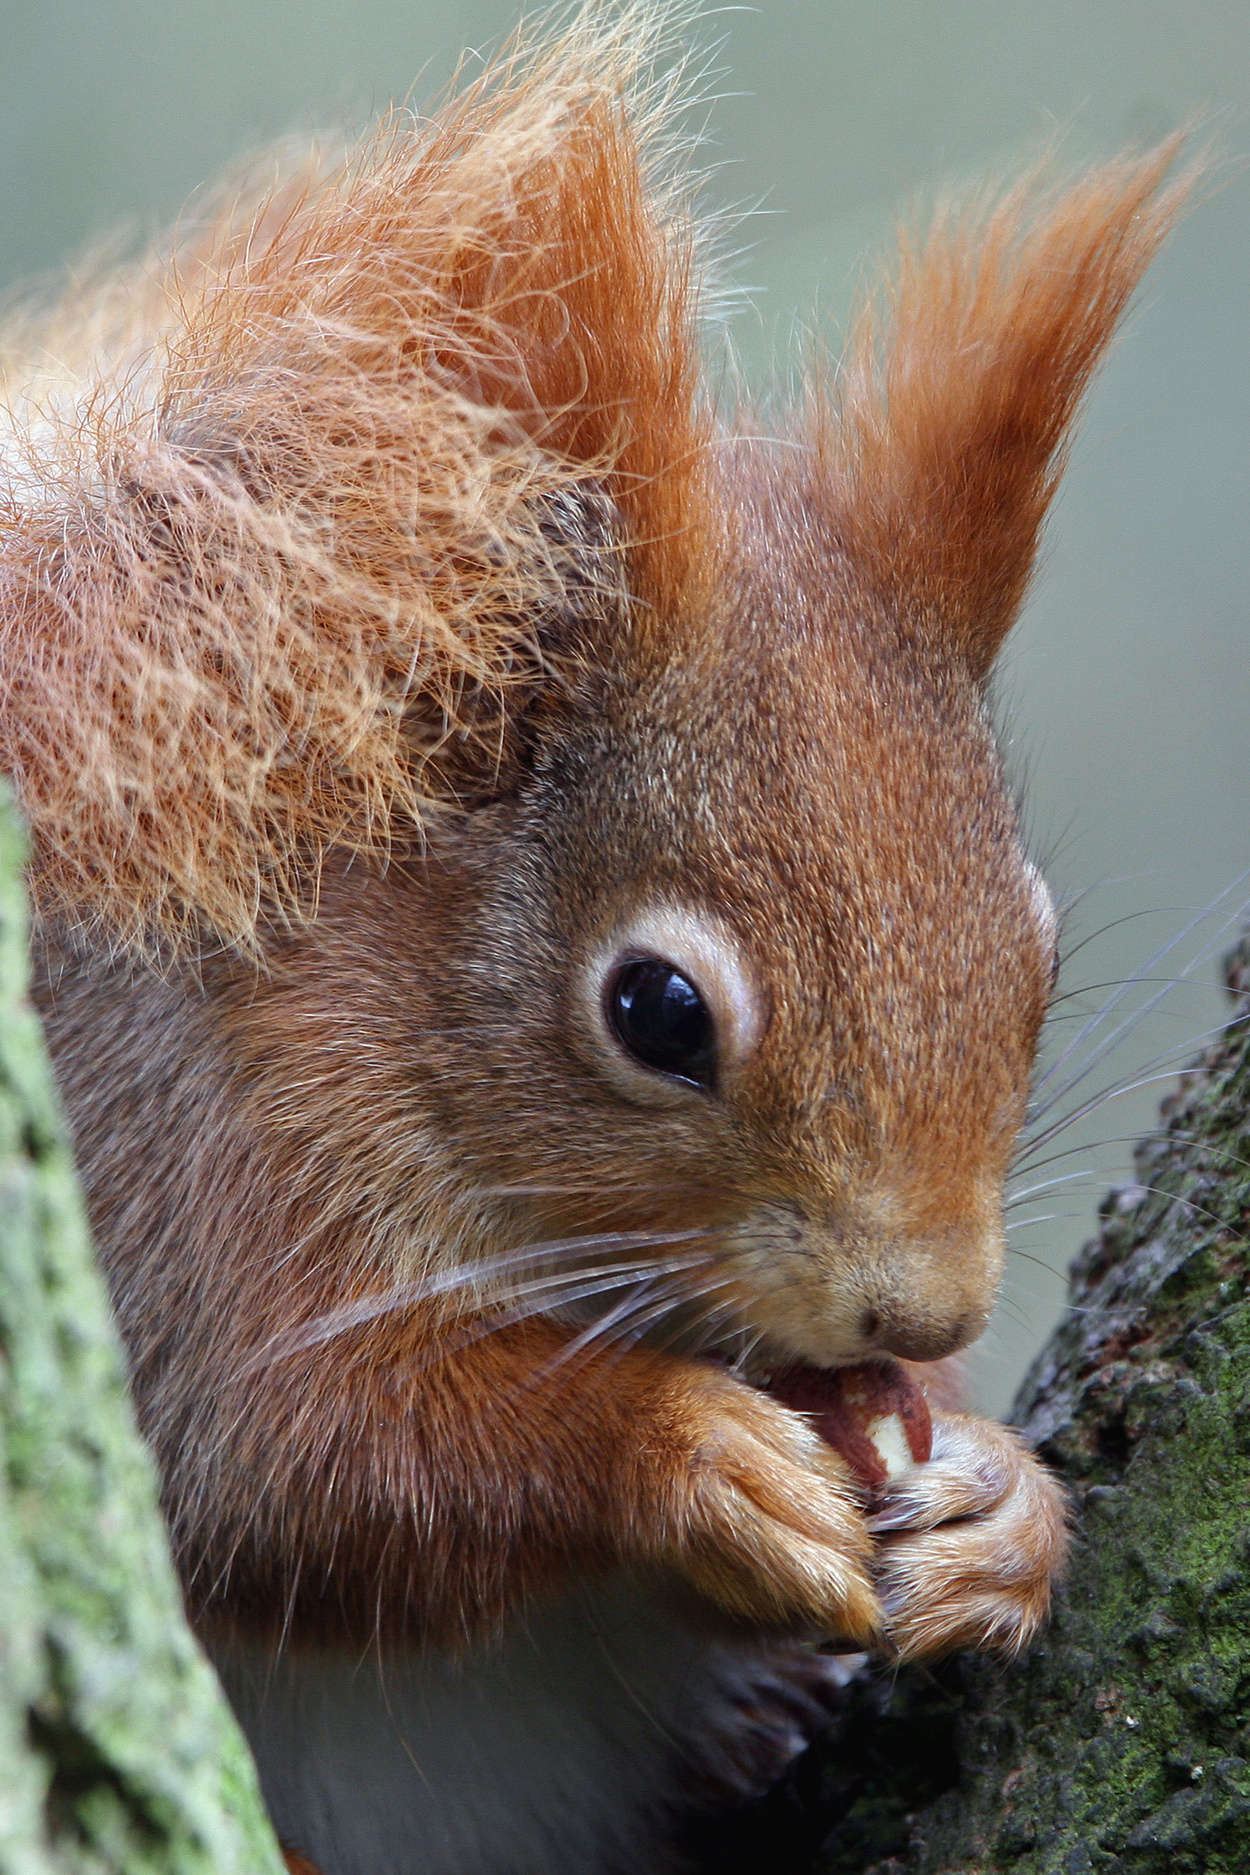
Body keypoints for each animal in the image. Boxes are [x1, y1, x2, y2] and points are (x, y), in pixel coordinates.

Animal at [0, 7, 1189, 1872]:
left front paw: (1002, 1501)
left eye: (1039, 945)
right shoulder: (178, 1162)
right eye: (656, 1011)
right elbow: (282, 1474)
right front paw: (688, 1456)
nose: (921, 1306)